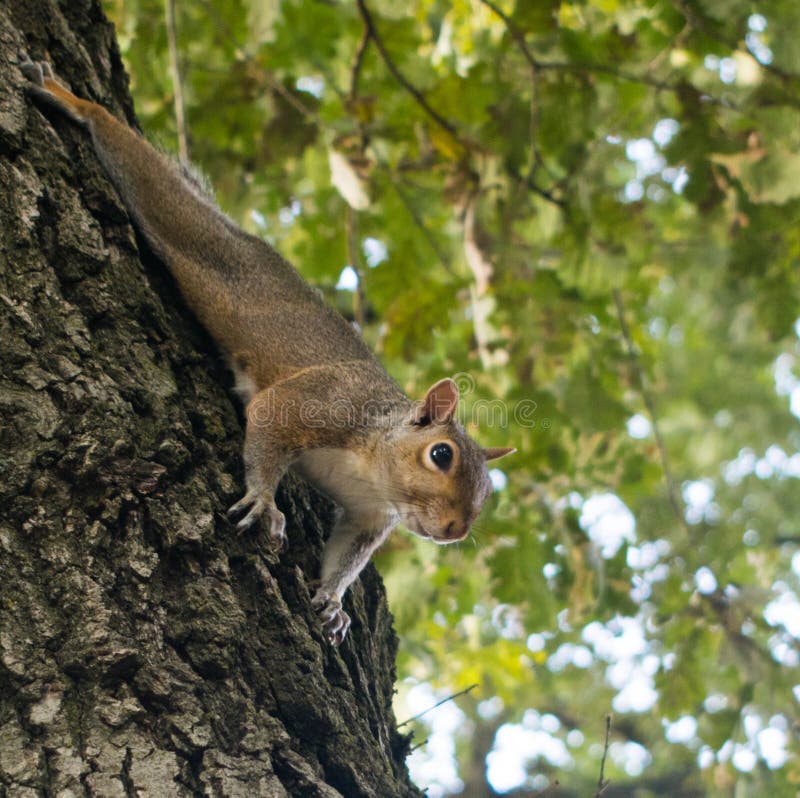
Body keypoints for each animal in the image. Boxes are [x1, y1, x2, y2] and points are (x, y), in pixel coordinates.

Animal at [19, 55, 514, 645]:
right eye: (441, 455)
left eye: (488, 493)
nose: (455, 529)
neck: (376, 466)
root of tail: (248, 241)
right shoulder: (326, 402)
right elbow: (269, 421)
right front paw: (264, 501)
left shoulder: (369, 517)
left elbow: (345, 554)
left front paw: (332, 601)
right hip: (195, 237)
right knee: (146, 177)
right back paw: (70, 99)